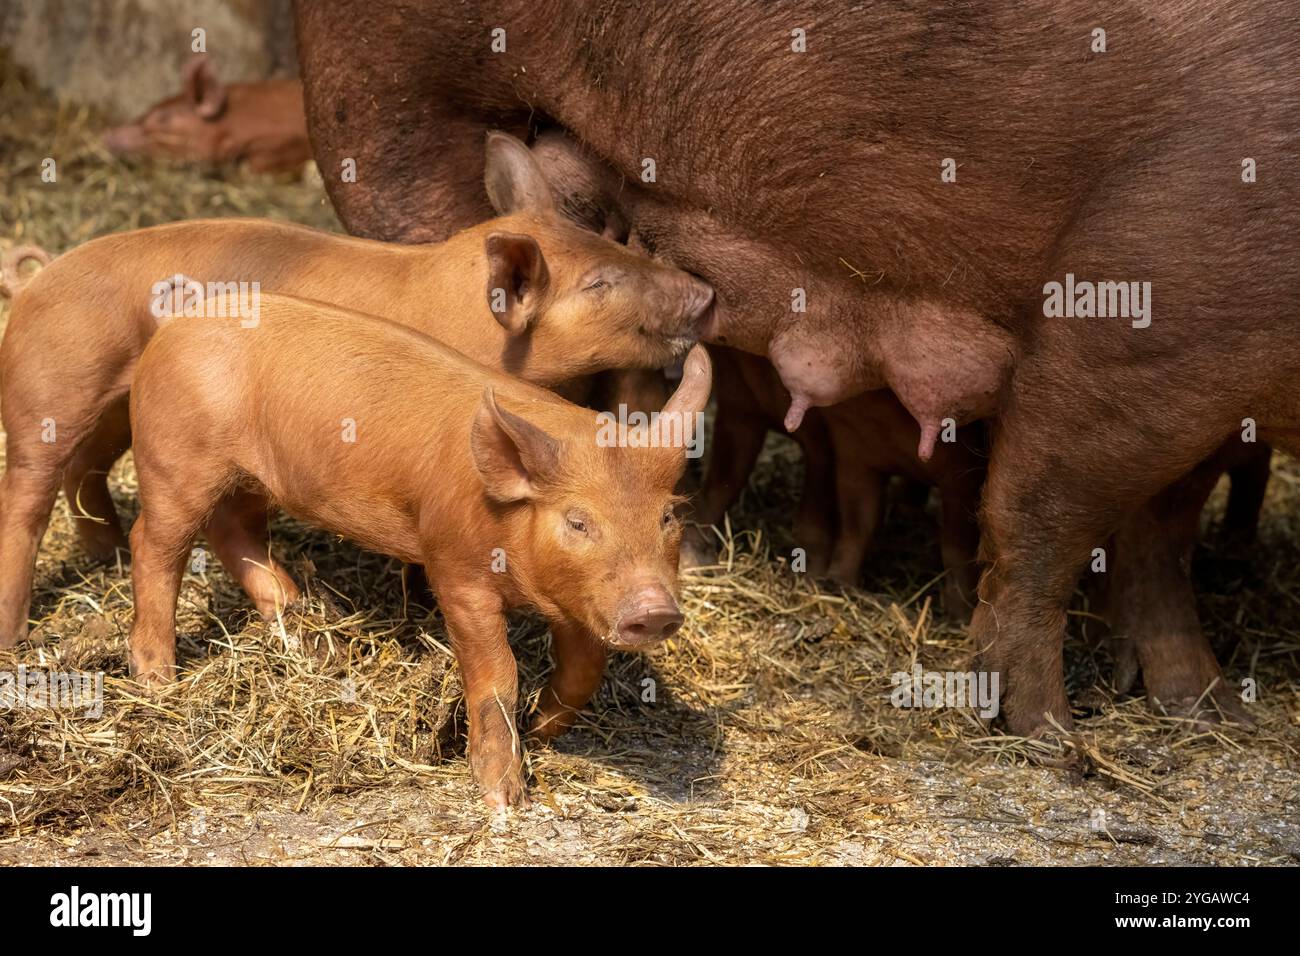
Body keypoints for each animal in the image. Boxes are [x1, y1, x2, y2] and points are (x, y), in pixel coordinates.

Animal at [0, 131, 712, 647]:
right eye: (597, 283)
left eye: (602, 242)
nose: (703, 290)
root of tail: (38, 278)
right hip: (50, 386)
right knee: (30, 494)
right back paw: (18, 636)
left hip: (127, 412)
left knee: (93, 473)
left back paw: (117, 559)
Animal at [128, 292, 711, 807]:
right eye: (578, 521)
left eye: (667, 517)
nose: (655, 609)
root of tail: (173, 331)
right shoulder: (455, 568)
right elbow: (497, 674)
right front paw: (504, 799)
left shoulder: (579, 599)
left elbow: (584, 669)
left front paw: (540, 729)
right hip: (174, 462)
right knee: (154, 545)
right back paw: (157, 680)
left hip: (247, 480)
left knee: (233, 532)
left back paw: (310, 634)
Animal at [294, 0, 1300, 734]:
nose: (698, 299)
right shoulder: (1146, 290)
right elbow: (1045, 512)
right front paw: (1049, 737)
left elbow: (1157, 534)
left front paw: (1203, 706)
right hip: (393, 102)